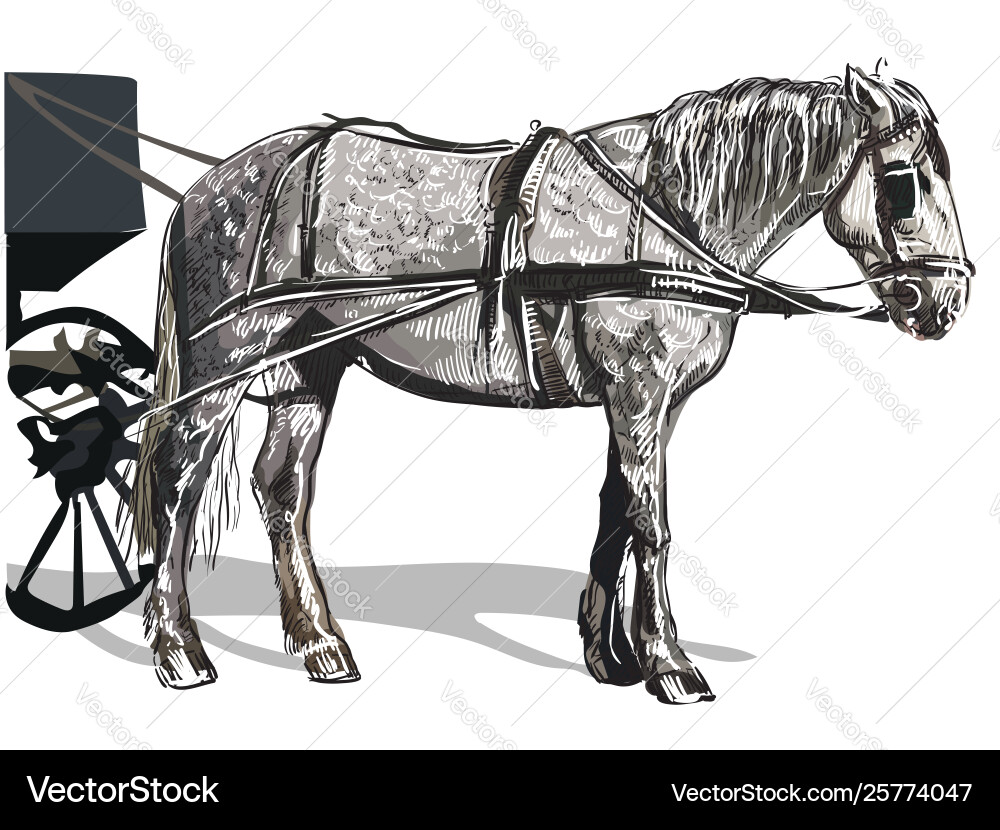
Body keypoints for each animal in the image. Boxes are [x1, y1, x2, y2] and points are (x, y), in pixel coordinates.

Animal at [130, 65, 974, 704]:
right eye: (904, 181)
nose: (945, 303)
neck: (664, 212)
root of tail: (207, 186)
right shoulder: (638, 388)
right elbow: (652, 525)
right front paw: (671, 665)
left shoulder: (646, 401)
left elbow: (616, 515)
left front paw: (612, 657)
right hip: (220, 367)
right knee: (176, 485)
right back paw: (178, 649)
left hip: (309, 367)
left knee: (281, 491)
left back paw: (319, 644)